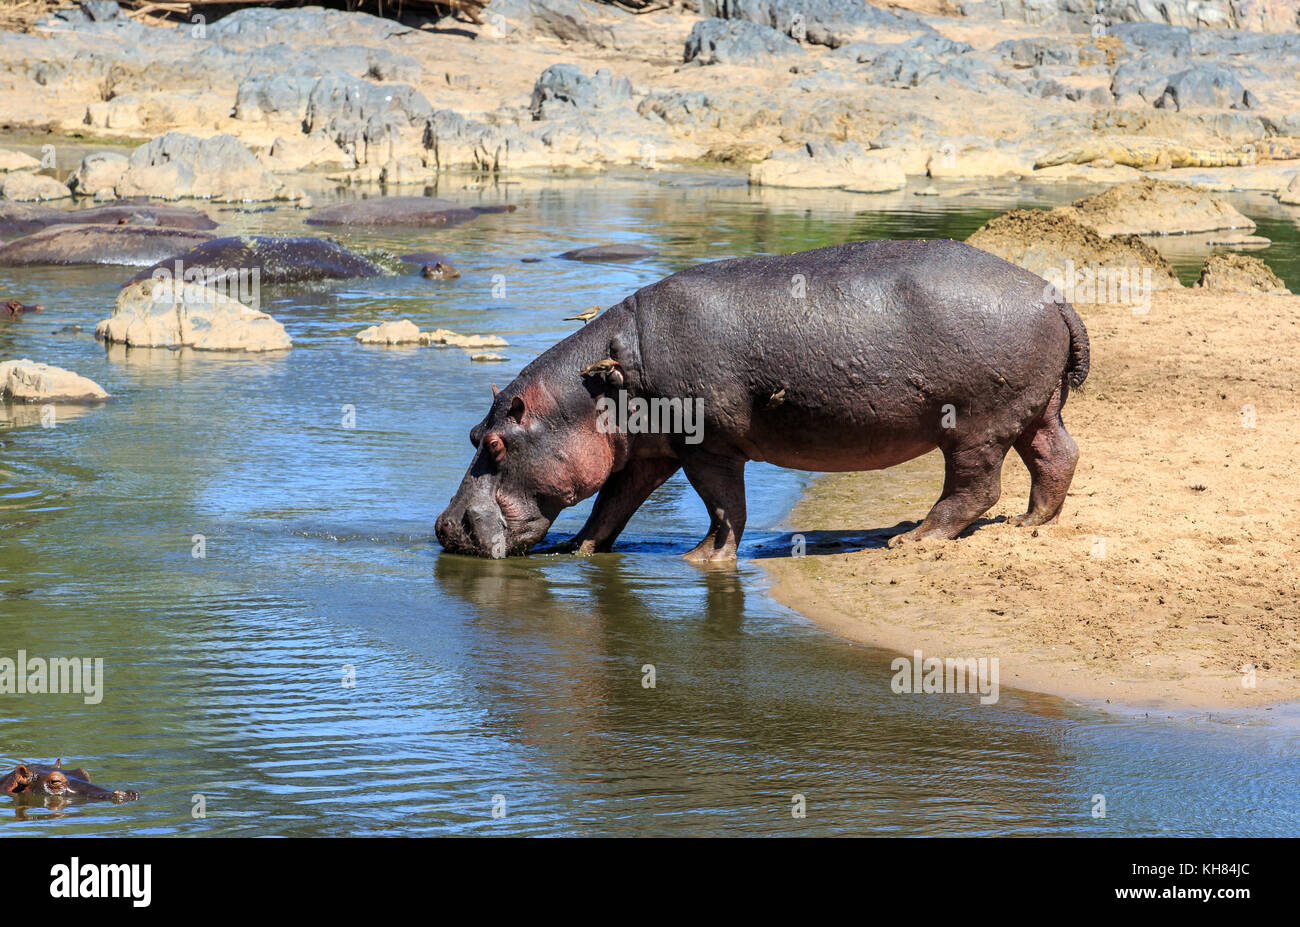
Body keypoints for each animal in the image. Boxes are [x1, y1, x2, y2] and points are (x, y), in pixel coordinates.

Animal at [435, 239, 1088, 562]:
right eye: (469, 434)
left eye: (495, 443)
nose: (444, 527)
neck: (591, 389)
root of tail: (1055, 297)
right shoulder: (648, 453)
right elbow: (612, 505)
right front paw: (577, 550)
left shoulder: (707, 447)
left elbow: (725, 507)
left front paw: (701, 561)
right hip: (1037, 411)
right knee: (1057, 457)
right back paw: (1030, 524)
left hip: (976, 425)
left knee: (974, 487)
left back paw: (912, 540)